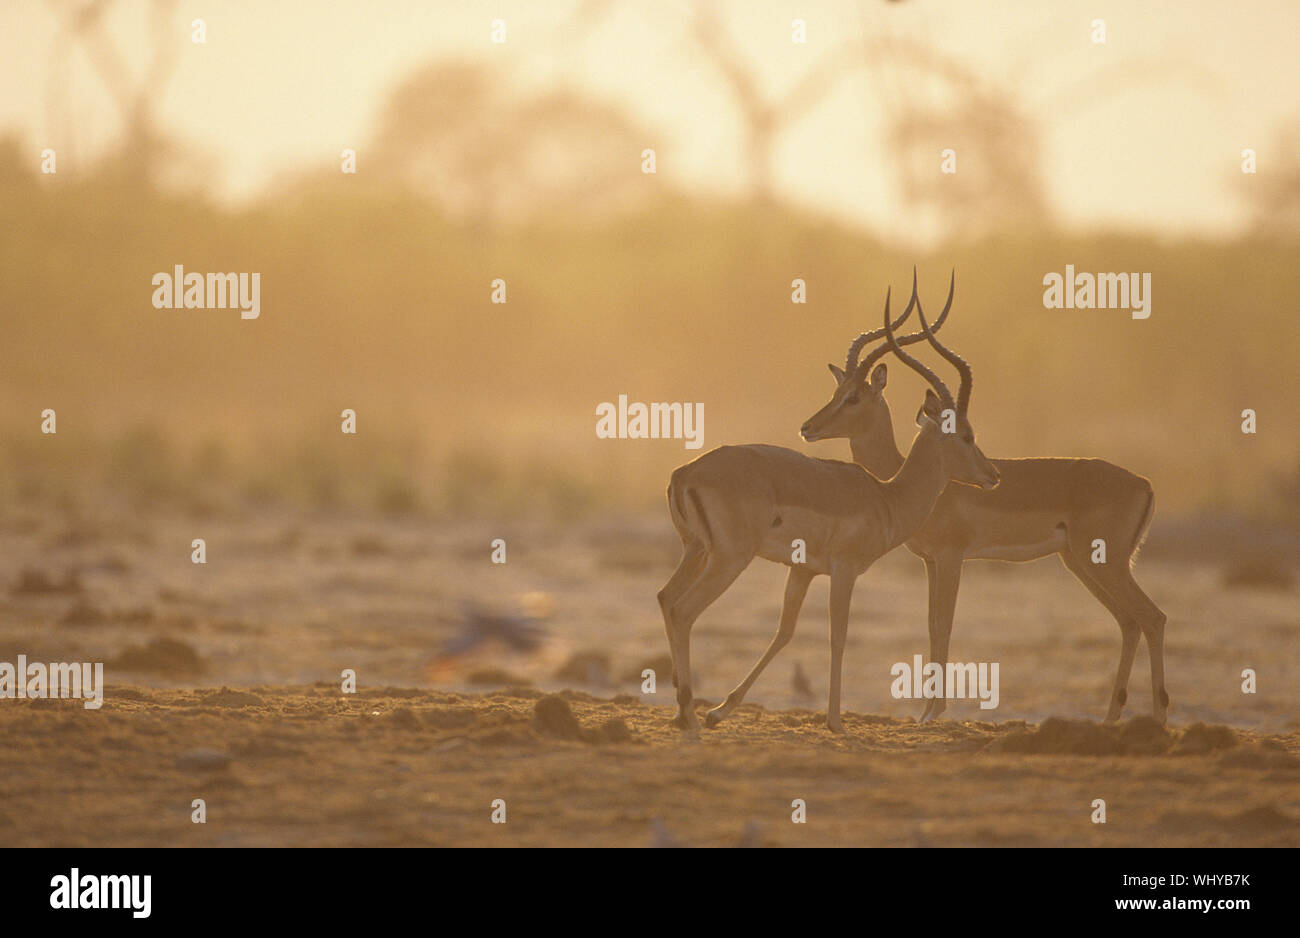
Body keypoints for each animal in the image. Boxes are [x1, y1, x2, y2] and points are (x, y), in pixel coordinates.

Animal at [657, 282, 999, 732]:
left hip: (696, 550)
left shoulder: (802, 570)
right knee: (683, 610)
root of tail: (686, 471)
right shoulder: (845, 568)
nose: (992, 474)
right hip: (728, 559)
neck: (886, 496)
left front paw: (721, 710)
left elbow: (784, 631)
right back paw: (689, 719)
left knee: (665, 598)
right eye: (966, 435)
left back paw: (686, 713)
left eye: (850, 396)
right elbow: (839, 634)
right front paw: (836, 721)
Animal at [801, 270, 1168, 724]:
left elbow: (943, 623)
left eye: (853, 398)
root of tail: (1144, 483)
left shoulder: (952, 557)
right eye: (838, 393)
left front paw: (932, 714)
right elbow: (931, 624)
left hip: (1106, 564)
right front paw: (926, 711)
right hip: (1082, 562)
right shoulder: (929, 561)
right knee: (1130, 622)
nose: (808, 427)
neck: (906, 475)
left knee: (1153, 618)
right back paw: (1111, 720)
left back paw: (1158, 720)